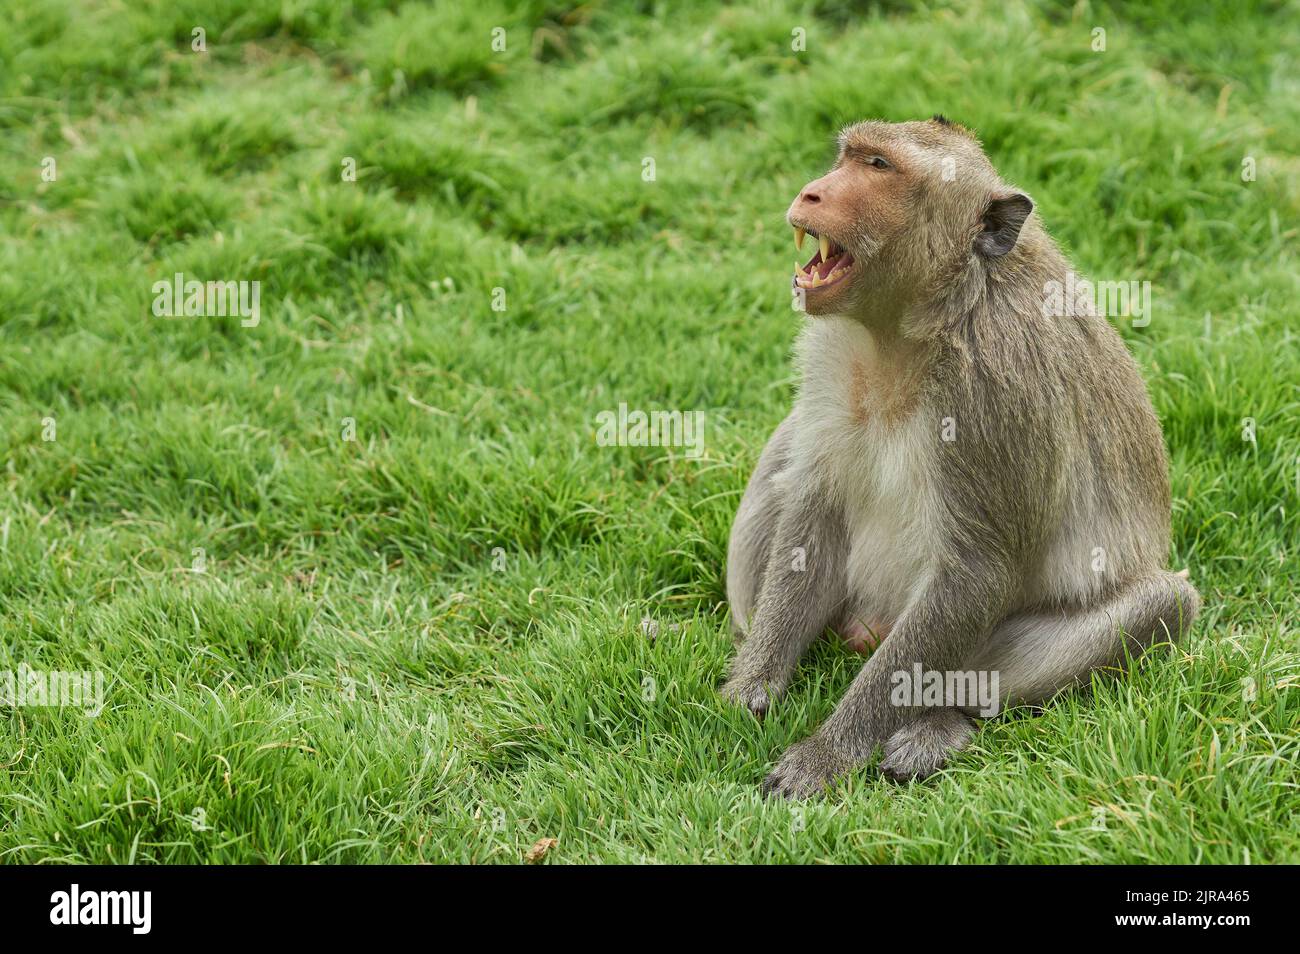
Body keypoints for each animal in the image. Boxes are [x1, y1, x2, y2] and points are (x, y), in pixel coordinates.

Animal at [721, 116, 1200, 798]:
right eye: (848, 155)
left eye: (878, 166)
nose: (813, 191)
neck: (918, 323)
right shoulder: (829, 350)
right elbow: (815, 505)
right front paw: (753, 684)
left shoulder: (997, 386)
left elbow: (976, 574)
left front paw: (825, 754)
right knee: (791, 441)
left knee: (1162, 603)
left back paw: (940, 723)